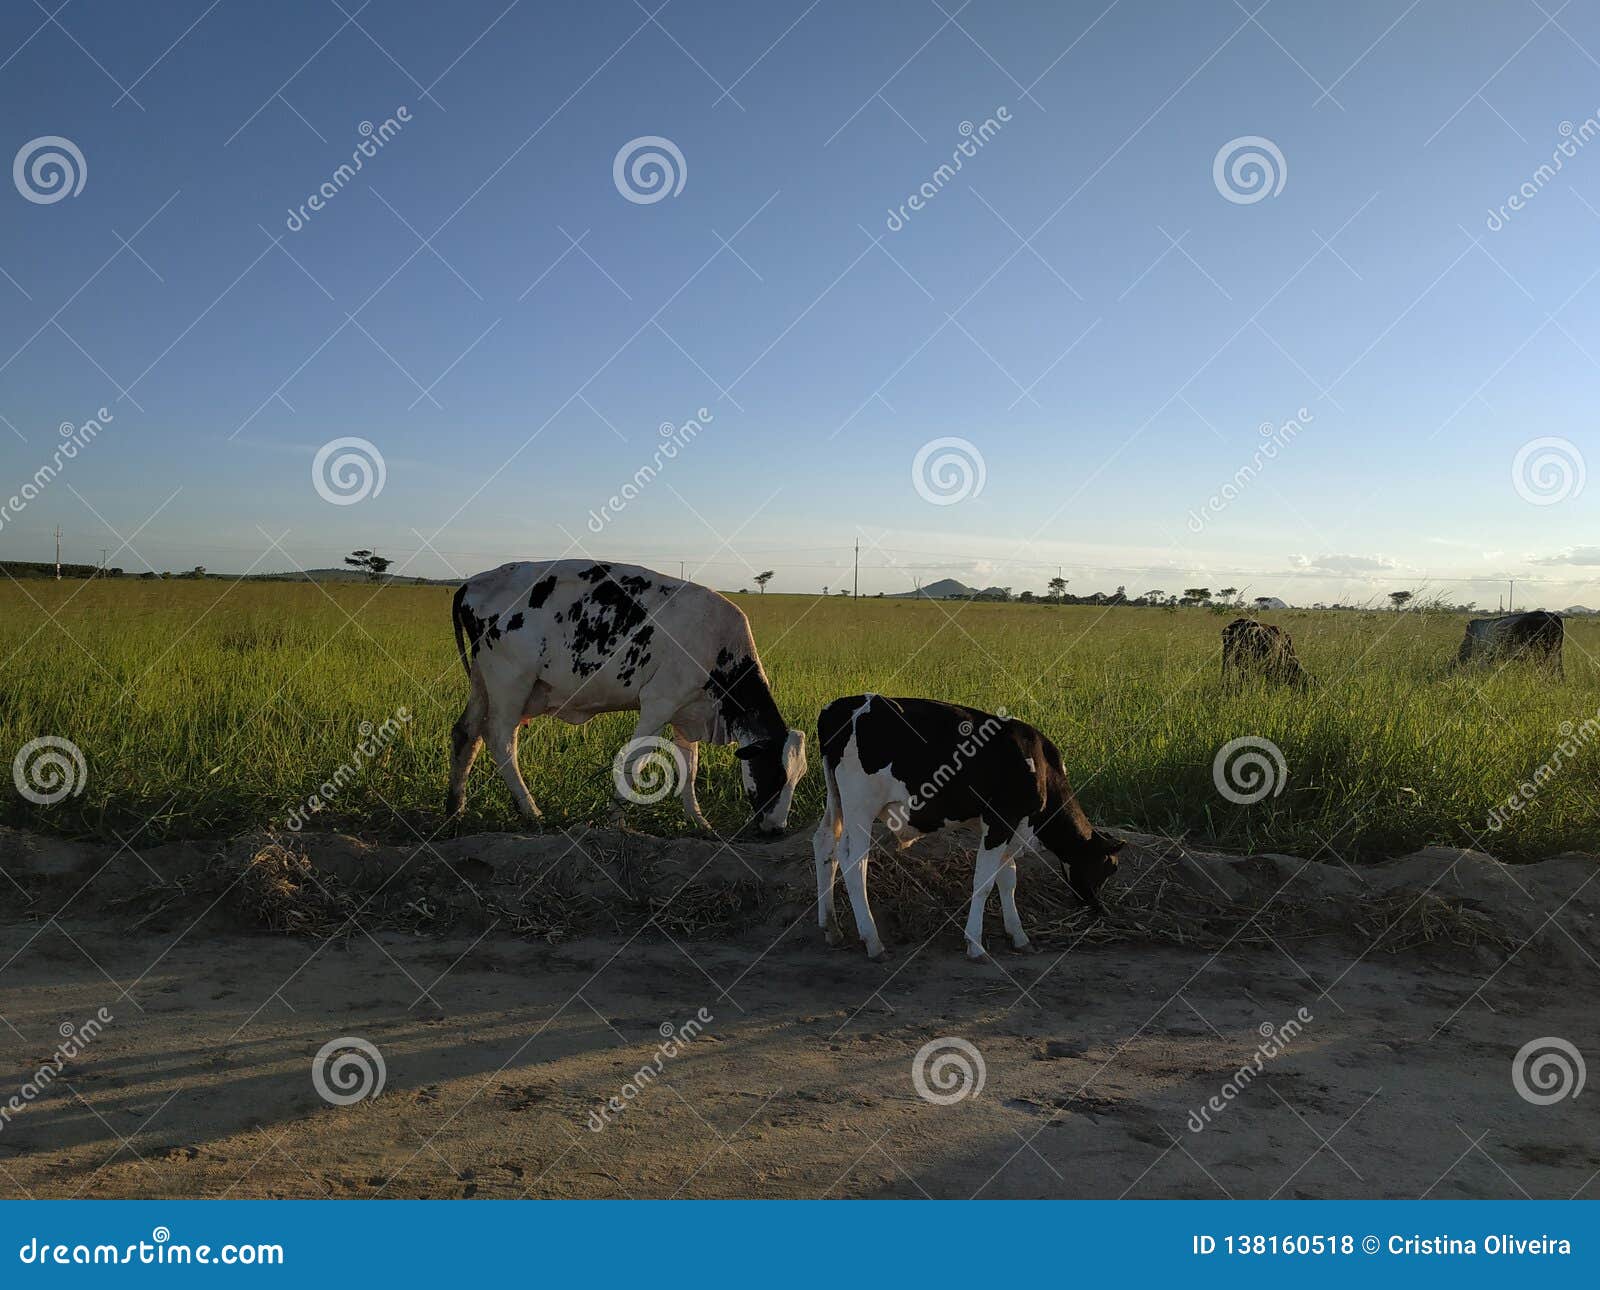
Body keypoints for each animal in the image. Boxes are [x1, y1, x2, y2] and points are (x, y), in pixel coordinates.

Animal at [447, 561, 806, 835]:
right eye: (777, 774)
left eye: (798, 778)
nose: (777, 830)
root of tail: (475, 582)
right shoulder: (658, 704)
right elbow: (635, 761)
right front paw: (616, 822)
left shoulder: (688, 713)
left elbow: (689, 769)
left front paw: (699, 823)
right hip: (510, 682)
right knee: (500, 739)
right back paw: (531, 812)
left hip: (481, 681)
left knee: (466, 733)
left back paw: (455, 810)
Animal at [811, 694, 1123, 962]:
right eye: (1107, 867)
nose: (1100, 909)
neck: (1041, 766)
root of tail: (838, 706)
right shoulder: (1000, 822)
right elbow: (984, 883)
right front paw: (975, 944)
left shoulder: (1010, 829)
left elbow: (1007, 880)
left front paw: (1018, 936)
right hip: (860, 807)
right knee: (853, 861)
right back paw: (873, 941)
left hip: (836, 802)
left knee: (826, 844)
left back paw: (831, 928)